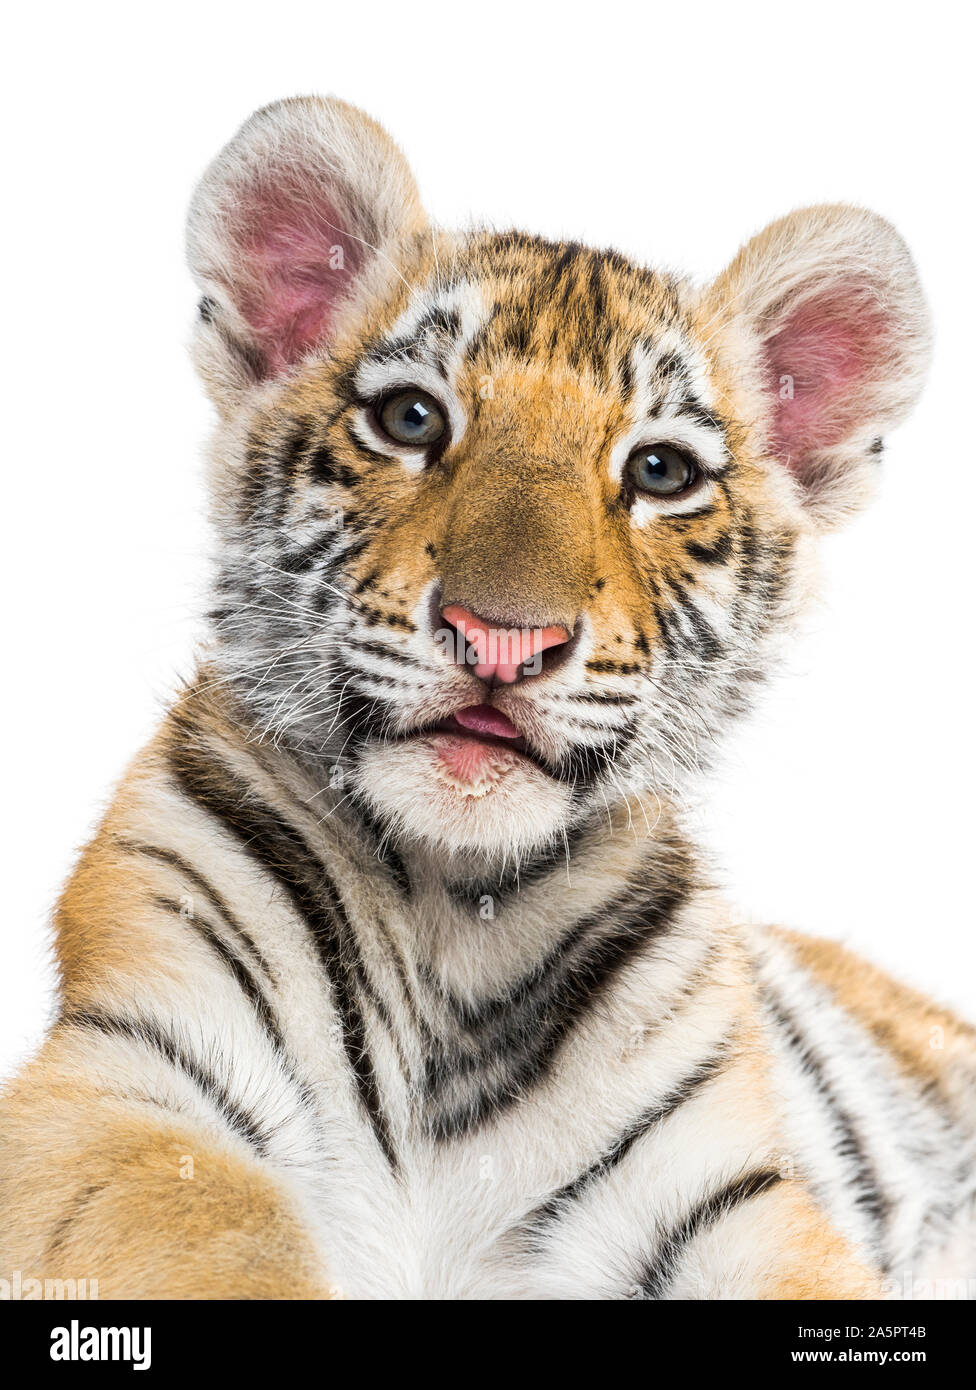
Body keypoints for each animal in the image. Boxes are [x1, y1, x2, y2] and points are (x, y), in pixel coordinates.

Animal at [1, 94, 973, 1303]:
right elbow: (221, 1242)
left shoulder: (721, 1194)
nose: (505, 639)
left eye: (660, 473)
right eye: (413, 419)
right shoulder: (123, 1086)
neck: (454, 917)